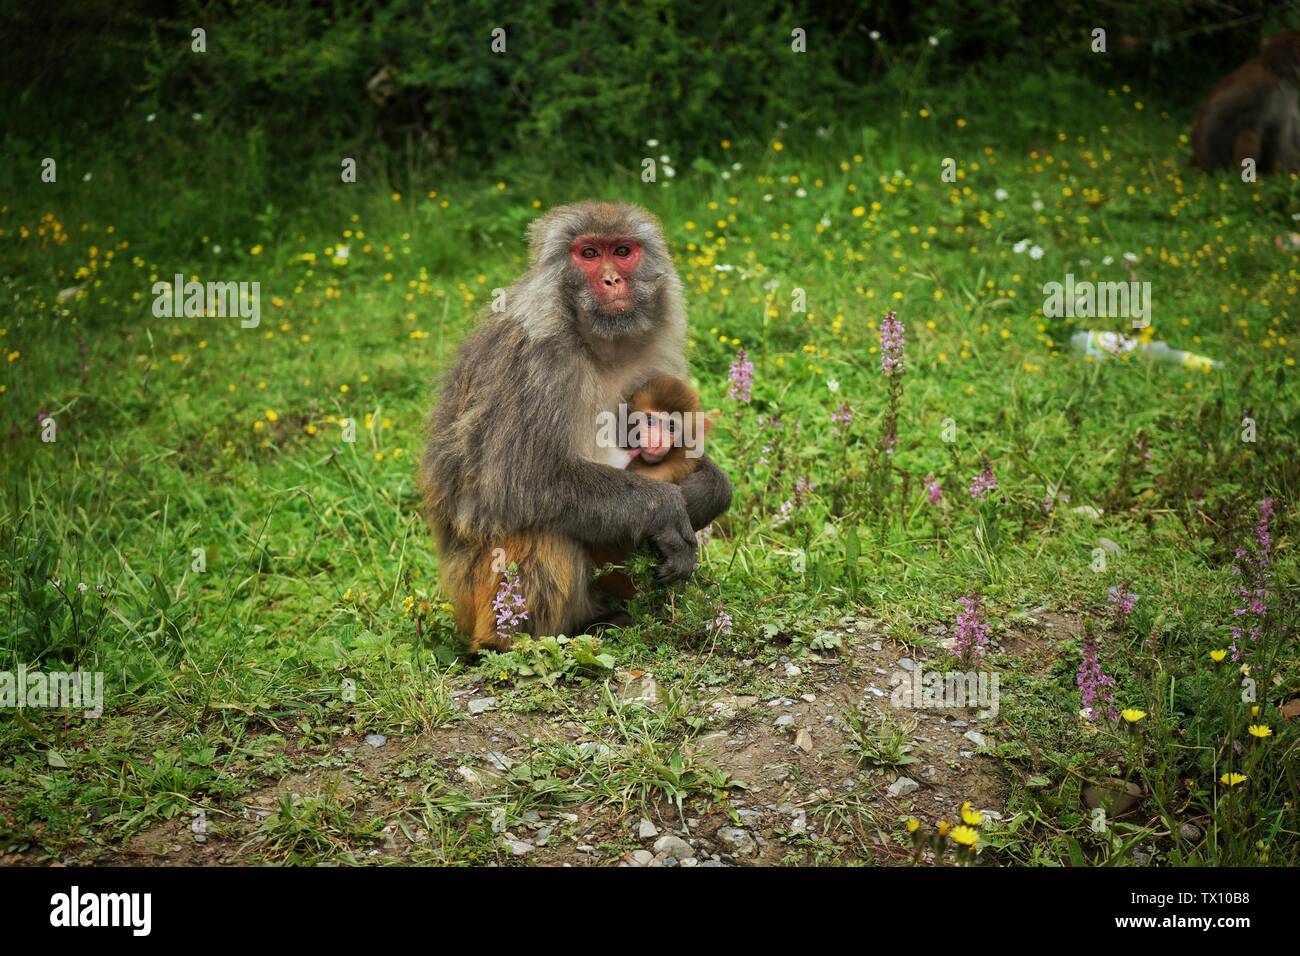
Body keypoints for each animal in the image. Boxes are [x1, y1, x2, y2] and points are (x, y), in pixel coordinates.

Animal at [420, 202, 732, 652]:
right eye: (588, 254)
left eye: (622, 251)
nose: (611, 279)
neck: (600, 346)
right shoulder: (533, 364)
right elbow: (518, 482)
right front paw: (663, 507)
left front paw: (708, 490)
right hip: (476, 592)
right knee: (542, 528)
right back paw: (526, 641)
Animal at [1191, 29, 1300, 175]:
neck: (1281, 76)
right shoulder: (1260, 86)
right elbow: (1218, 116)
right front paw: (1216, 168)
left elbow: (1281, 129)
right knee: (1249, 130)